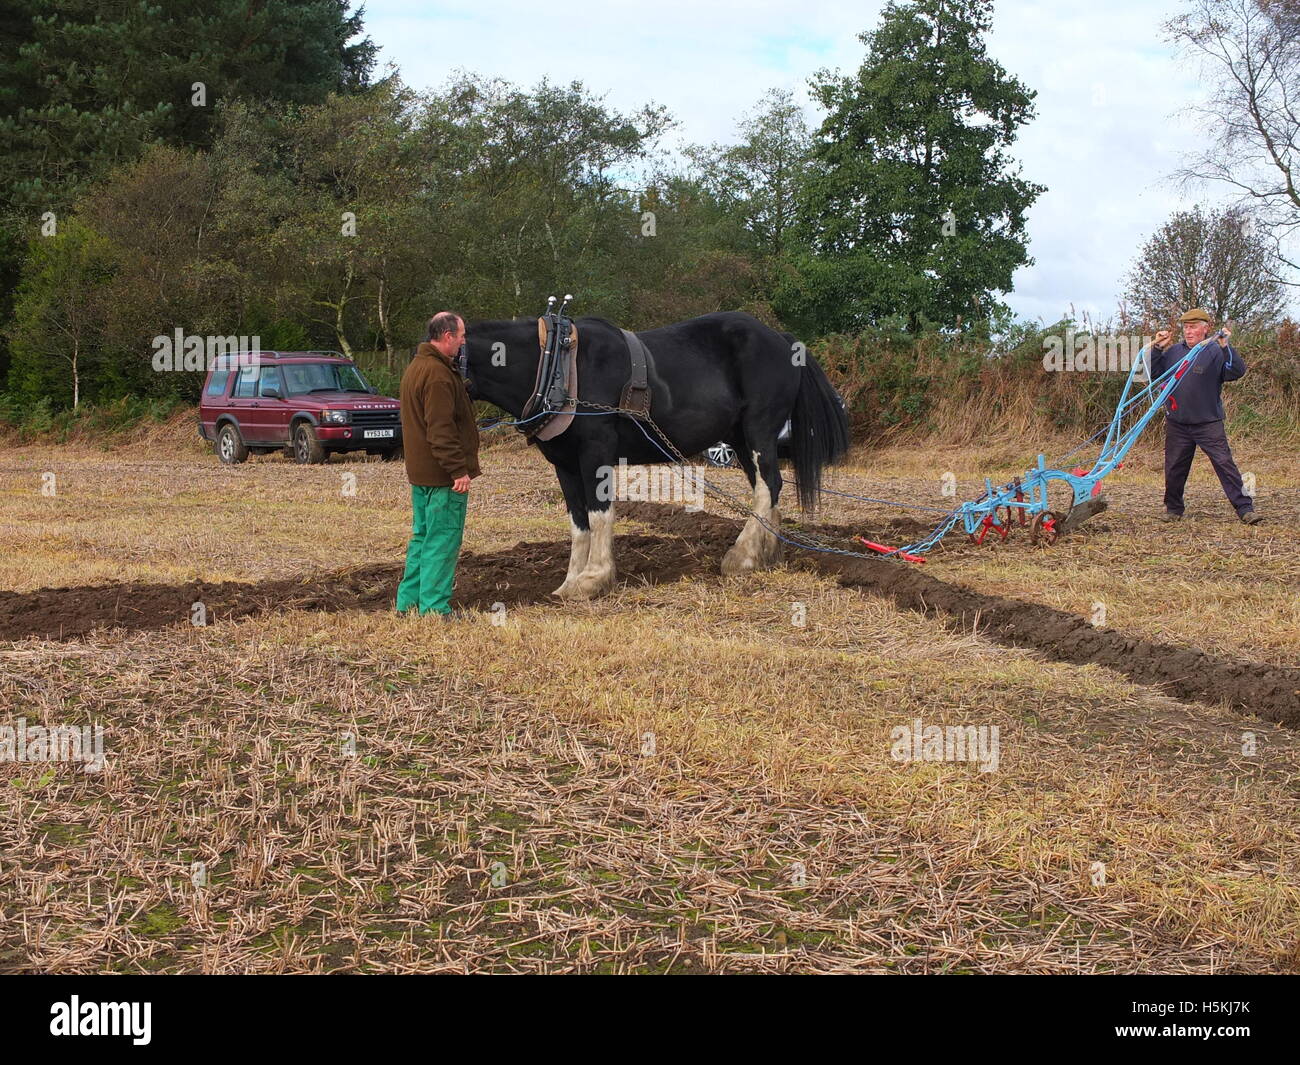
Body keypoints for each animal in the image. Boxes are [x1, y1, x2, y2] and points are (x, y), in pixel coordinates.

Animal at [462, 310, 850, 600]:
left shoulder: (595, 452)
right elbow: (579, 522)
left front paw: (594, 578)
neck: (558, 365)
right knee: (767, 489)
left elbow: (600, 514)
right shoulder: (565, 465)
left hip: (759, 430)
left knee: (768, 485)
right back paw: (766, 555)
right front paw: (570, 582)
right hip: (741, 440)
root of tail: (781, 338)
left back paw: (741, 558)